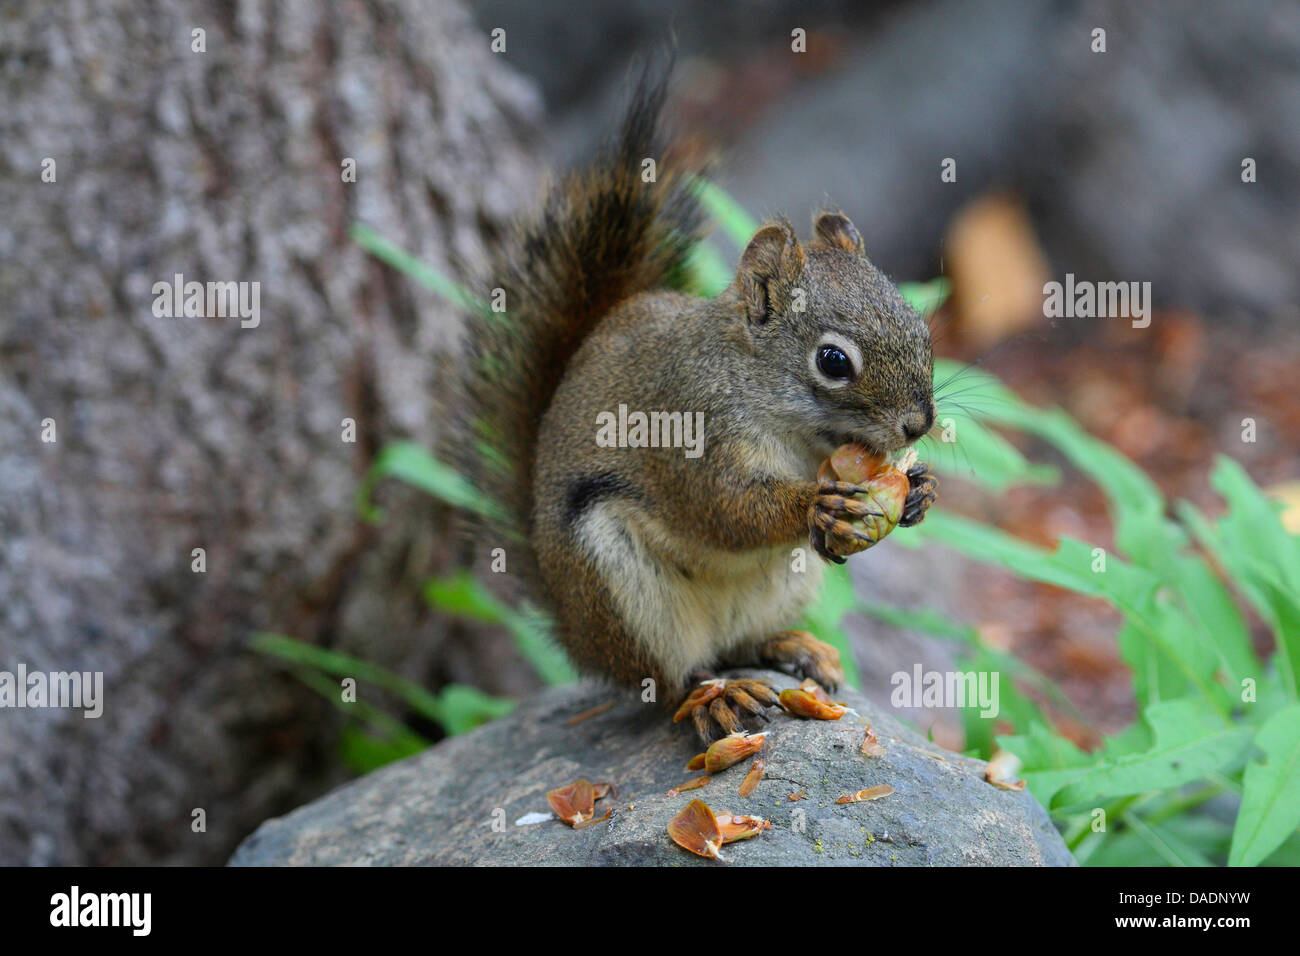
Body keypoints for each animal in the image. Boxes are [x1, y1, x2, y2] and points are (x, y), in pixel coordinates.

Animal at [460, 64, 937, 742]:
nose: (919, 424)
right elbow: (723, 508)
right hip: (618, 583)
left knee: (739, 642)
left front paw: (920, 489)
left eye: (919, 325)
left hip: (783, 587)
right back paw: (716, 697)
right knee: (672, 678)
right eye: (833, 361)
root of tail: (580, 639)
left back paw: (791, 646)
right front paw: (813, 505)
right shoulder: (689, 423)